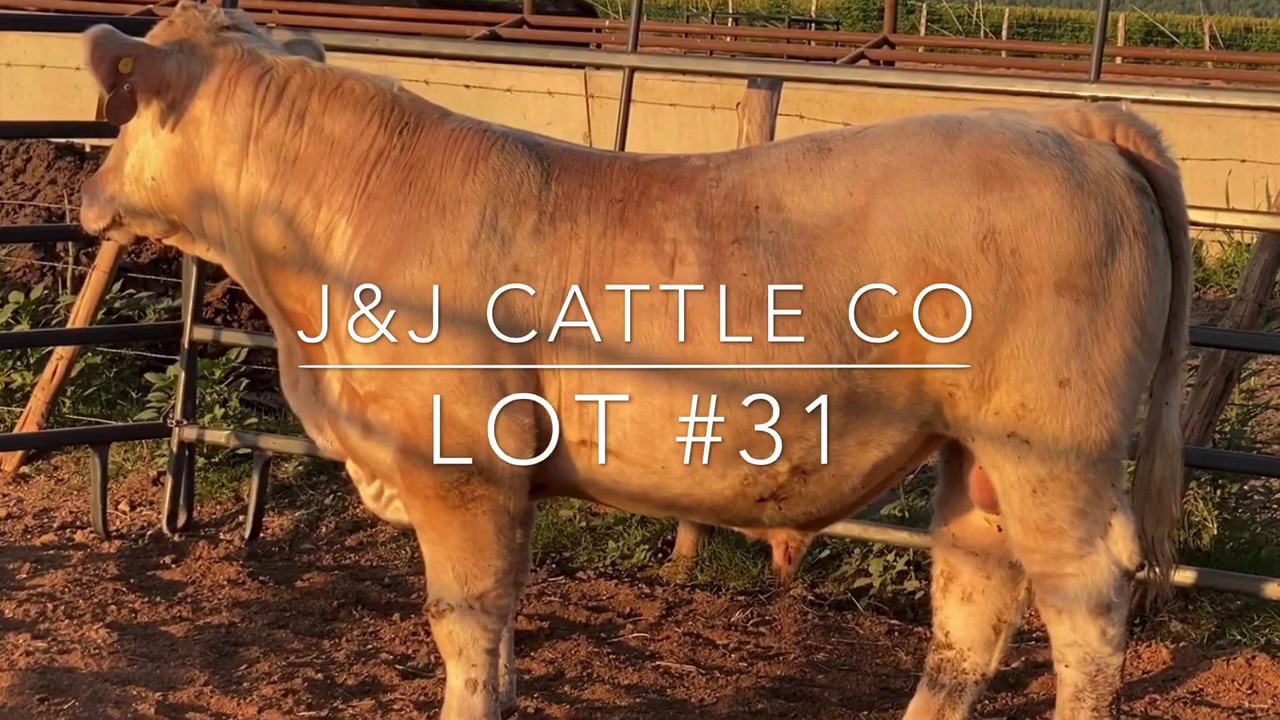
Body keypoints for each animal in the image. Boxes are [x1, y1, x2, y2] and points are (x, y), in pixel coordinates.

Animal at [77, 3, 1191, 719]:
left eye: (121, 106)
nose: (87, 196)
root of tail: (1066, 121)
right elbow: (500, 635)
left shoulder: (461, 471)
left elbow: (465, 628)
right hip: (976, 458)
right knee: (972, 608)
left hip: (1053, 451)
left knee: (1086, 616)